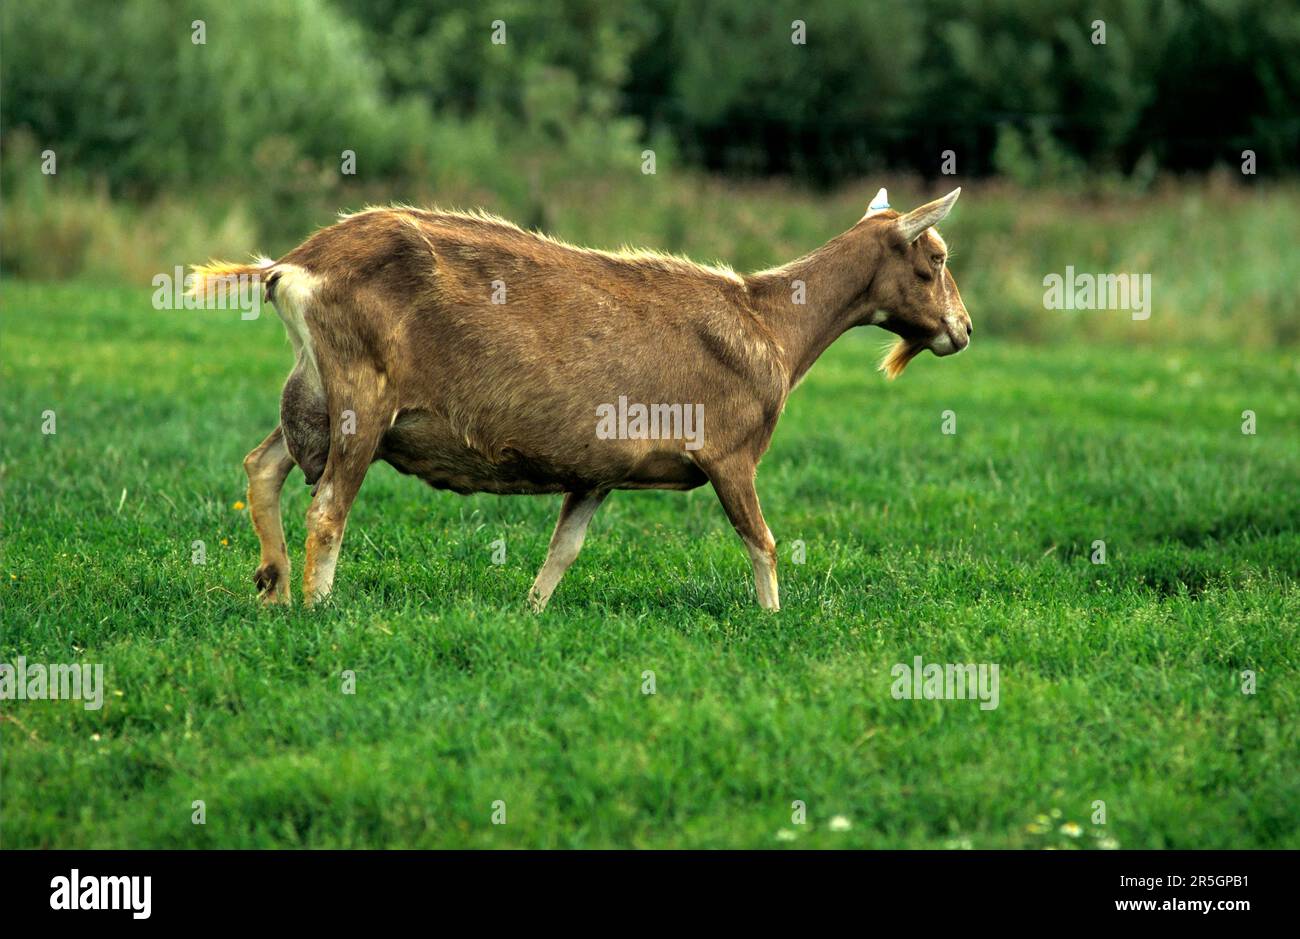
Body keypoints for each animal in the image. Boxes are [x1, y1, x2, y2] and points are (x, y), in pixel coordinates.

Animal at [189, 187, 969, 611]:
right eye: (934, 261)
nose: (962, 330)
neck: (771, 325)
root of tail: (293, 265)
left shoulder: (596, 471)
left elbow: (563, 550)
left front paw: (530, 612)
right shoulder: (730, 454)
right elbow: (764, 541)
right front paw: (773, 621)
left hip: (315, 391)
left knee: (263, 465)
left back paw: (273, 586)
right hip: (362, 397)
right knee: (327, 507)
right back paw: (317, 608)